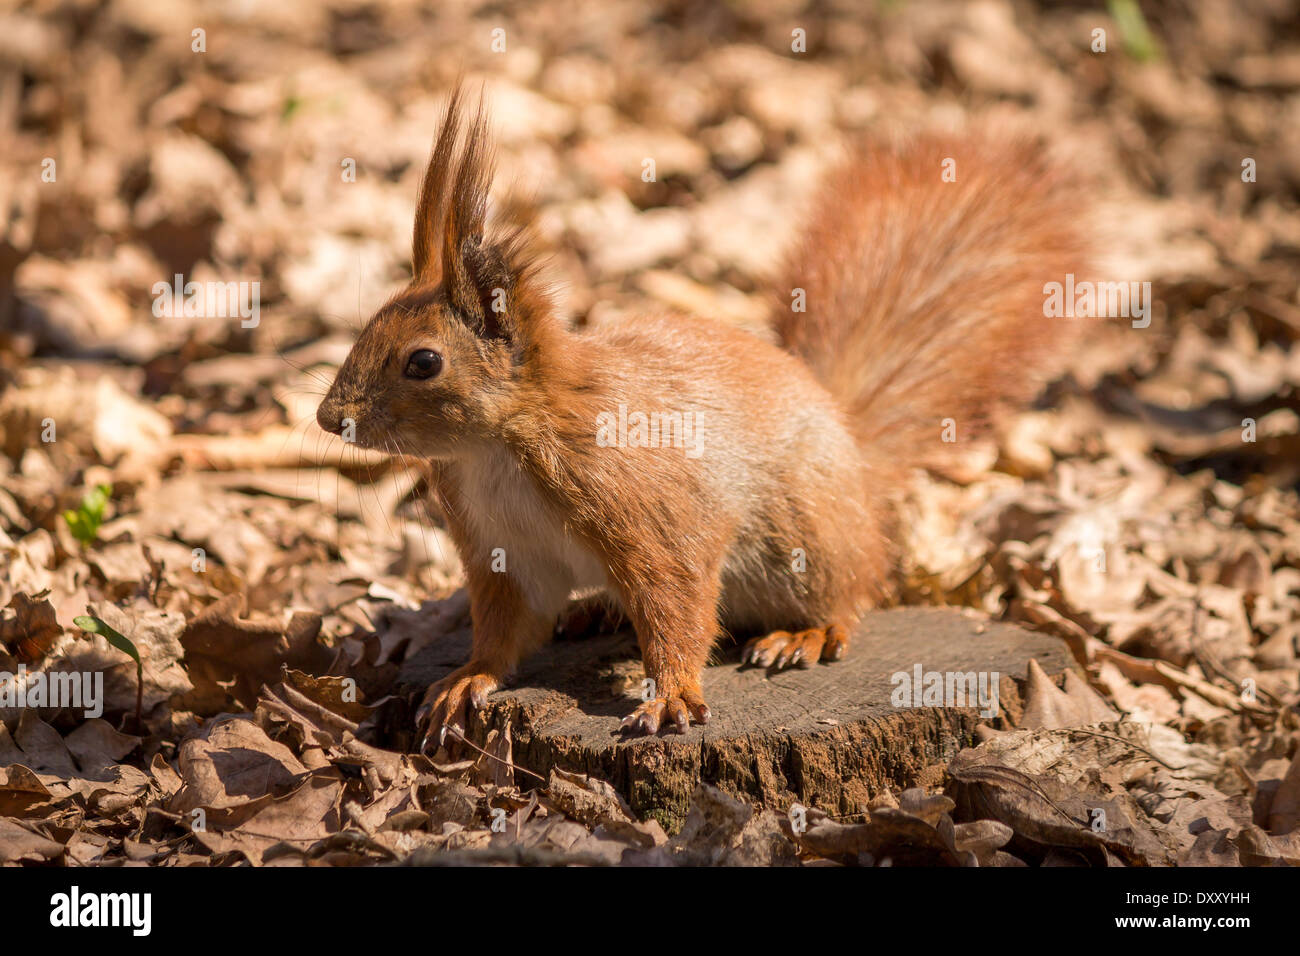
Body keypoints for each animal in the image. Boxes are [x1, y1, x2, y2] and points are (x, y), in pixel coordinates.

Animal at [315, 85, 1090, 744]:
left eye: (423, 362)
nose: (330, 418)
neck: (497, 449)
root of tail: (852, 450)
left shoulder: (644, 506)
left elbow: (677, 598)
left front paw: (672, 695)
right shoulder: (504, 552)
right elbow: (506, 630)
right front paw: (467, 678)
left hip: (812, 535)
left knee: (851, 591)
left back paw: (805, 635)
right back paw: (595, 610)